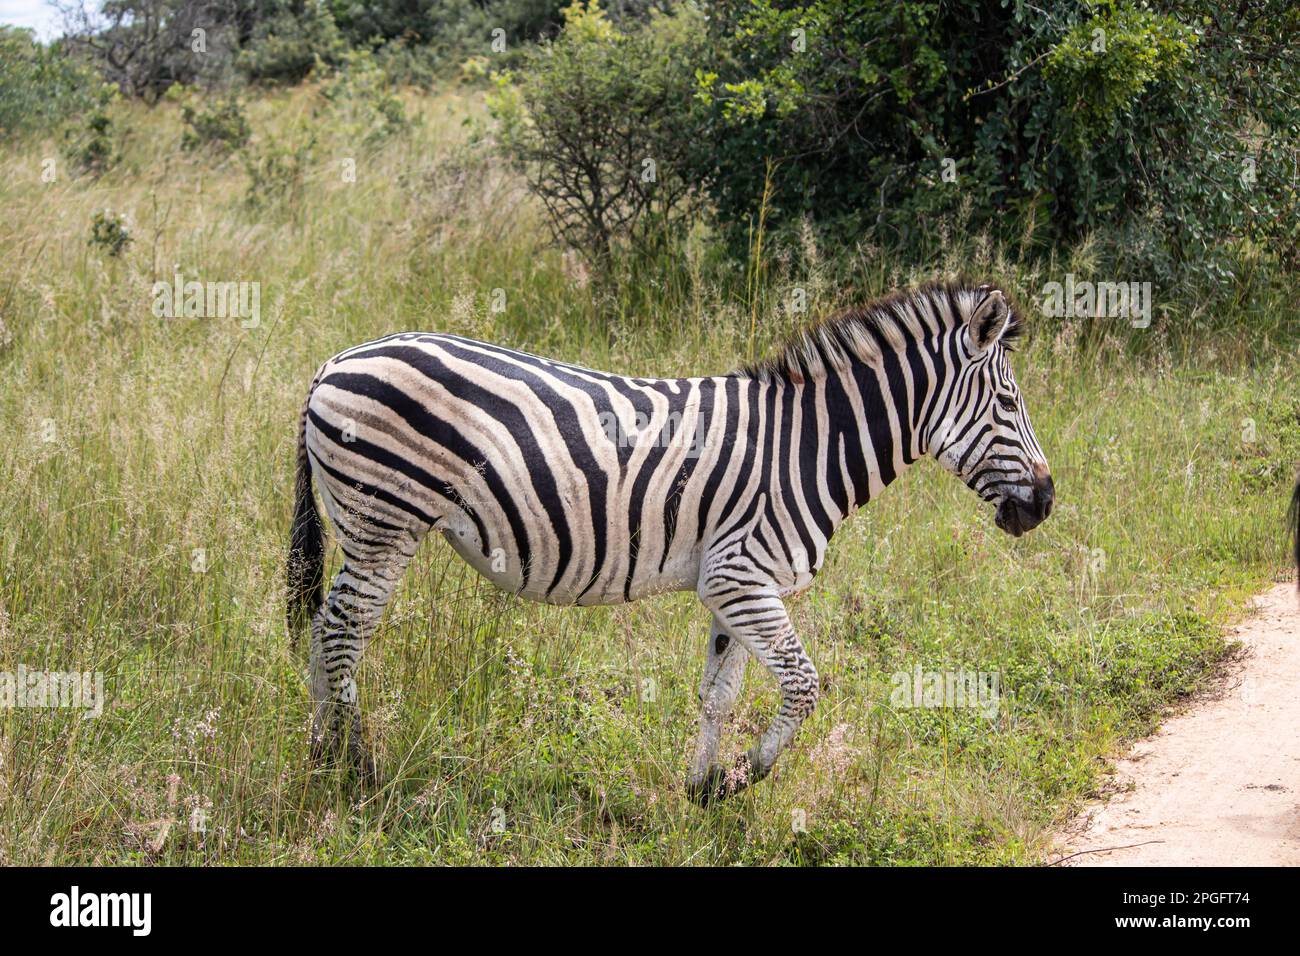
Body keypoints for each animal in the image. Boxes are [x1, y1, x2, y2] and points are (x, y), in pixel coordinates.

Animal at [286, 280, 1054, 803]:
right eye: (1009, 404)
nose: (1045, 504)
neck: (808, 446)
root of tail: (331, 364)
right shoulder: (741, 577)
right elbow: (803, 684)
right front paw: (744, 776)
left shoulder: (735, 588)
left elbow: (718, 695)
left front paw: (702, 787)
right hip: (383, 522)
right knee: (342, 634)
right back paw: (357, 769)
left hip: (365, 527)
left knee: (324, 625)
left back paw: (322, 758)